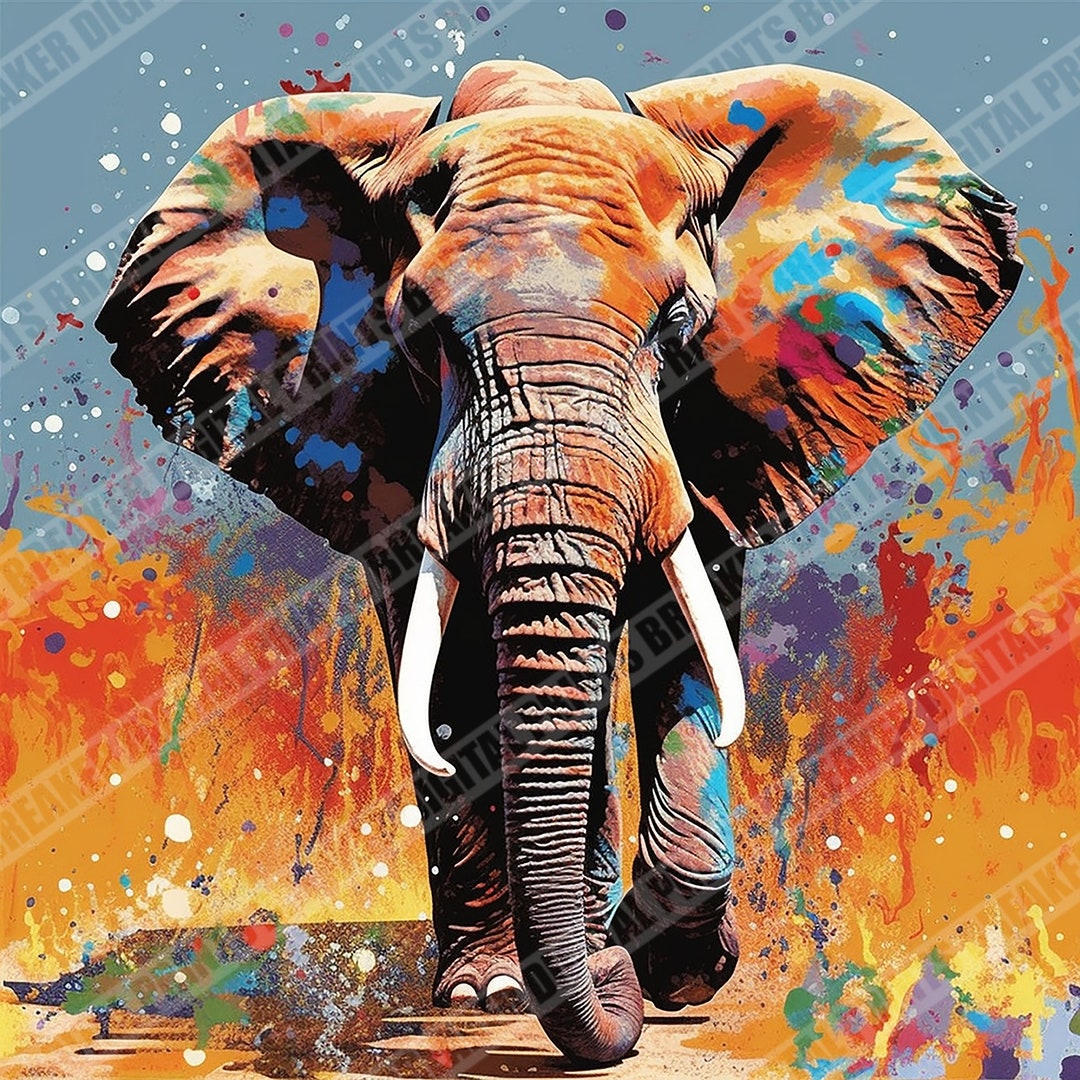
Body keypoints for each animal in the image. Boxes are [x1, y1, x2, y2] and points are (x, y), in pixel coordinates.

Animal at [95, 60, 1020, 1063]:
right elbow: (451, 671)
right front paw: (516, 984)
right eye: (420, 329)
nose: (610, 972)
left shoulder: (726, 408)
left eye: (678, 324)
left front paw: (666, 965)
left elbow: (685, 630)